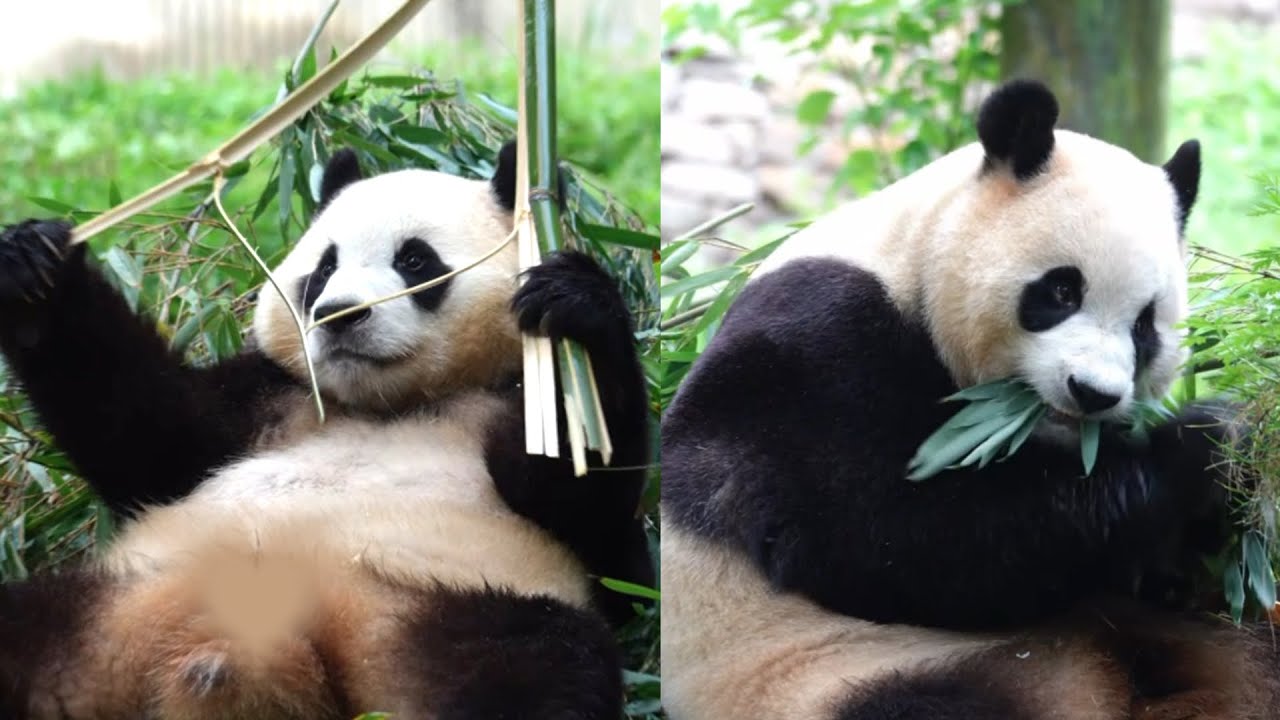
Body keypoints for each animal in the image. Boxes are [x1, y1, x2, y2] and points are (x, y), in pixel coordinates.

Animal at [0, 142, 653, 719]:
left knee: (536, 674)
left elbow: (600, 533)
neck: (386, 403)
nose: (339, 314)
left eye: (414, 260)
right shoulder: (271, 397)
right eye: (323, 268)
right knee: (24, 626)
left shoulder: (514, 398)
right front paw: (33, 268)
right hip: (108, 603)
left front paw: (575, 303)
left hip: (454, 611)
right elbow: (148, 435)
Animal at [661, 80, 1280, 720]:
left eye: (1145, 326)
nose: (1093, 393)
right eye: (1062, 290)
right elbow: (887, 533)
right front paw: (1202, 446)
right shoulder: (813, 345)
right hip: (824, 674)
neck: (909, 256)